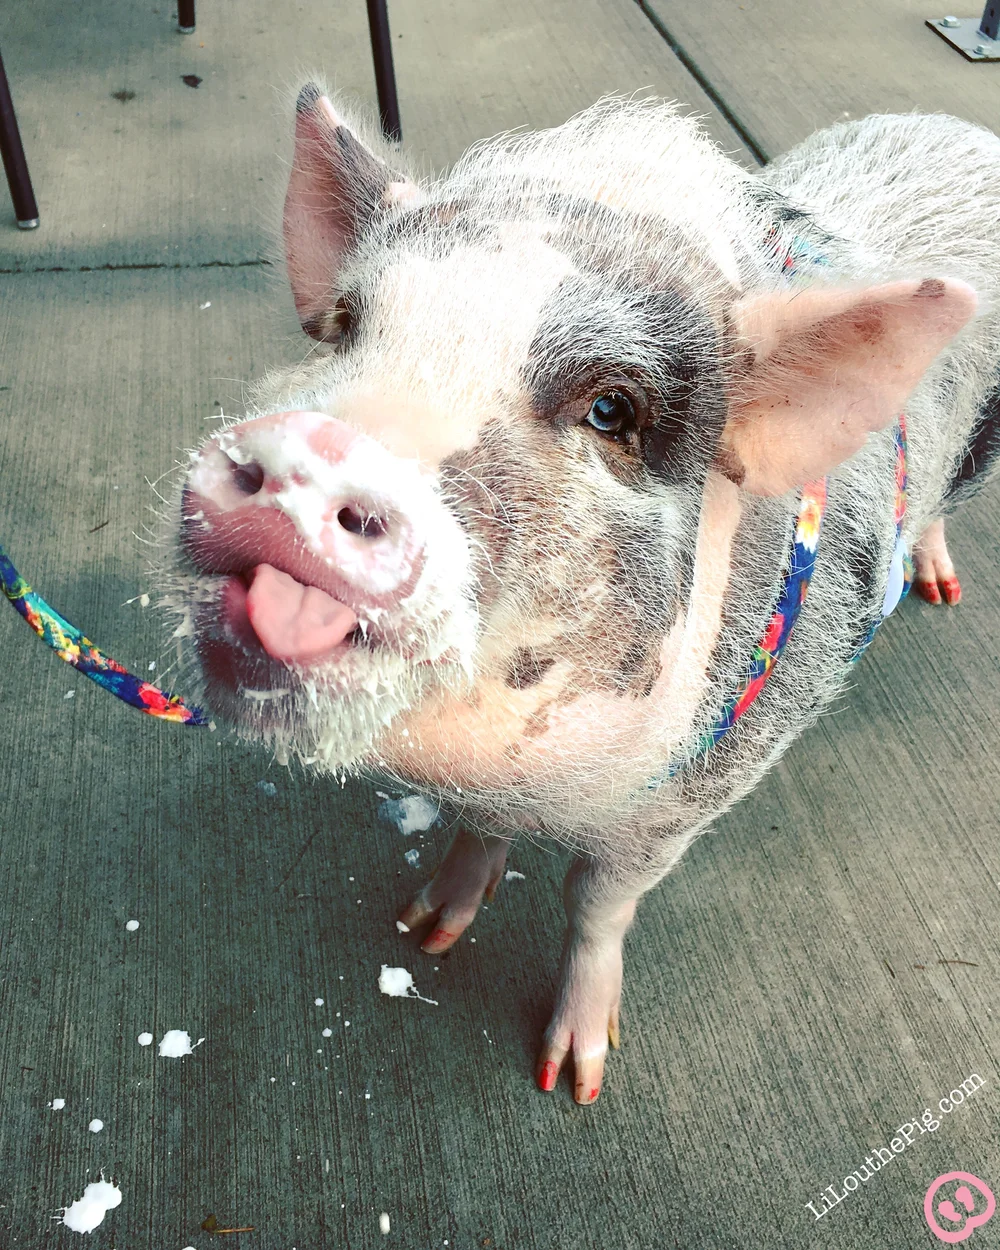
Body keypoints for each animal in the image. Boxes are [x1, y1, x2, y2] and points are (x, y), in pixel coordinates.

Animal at [163, 86, 1000, 1104]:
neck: (522, 779)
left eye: (611, 410)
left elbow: (597, 902)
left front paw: (574, 1079)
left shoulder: (694, 788)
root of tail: (962, 130)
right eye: (351, 323)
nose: (313, 451)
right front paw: (424, 928)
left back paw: (938, 587)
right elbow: (478, 833)